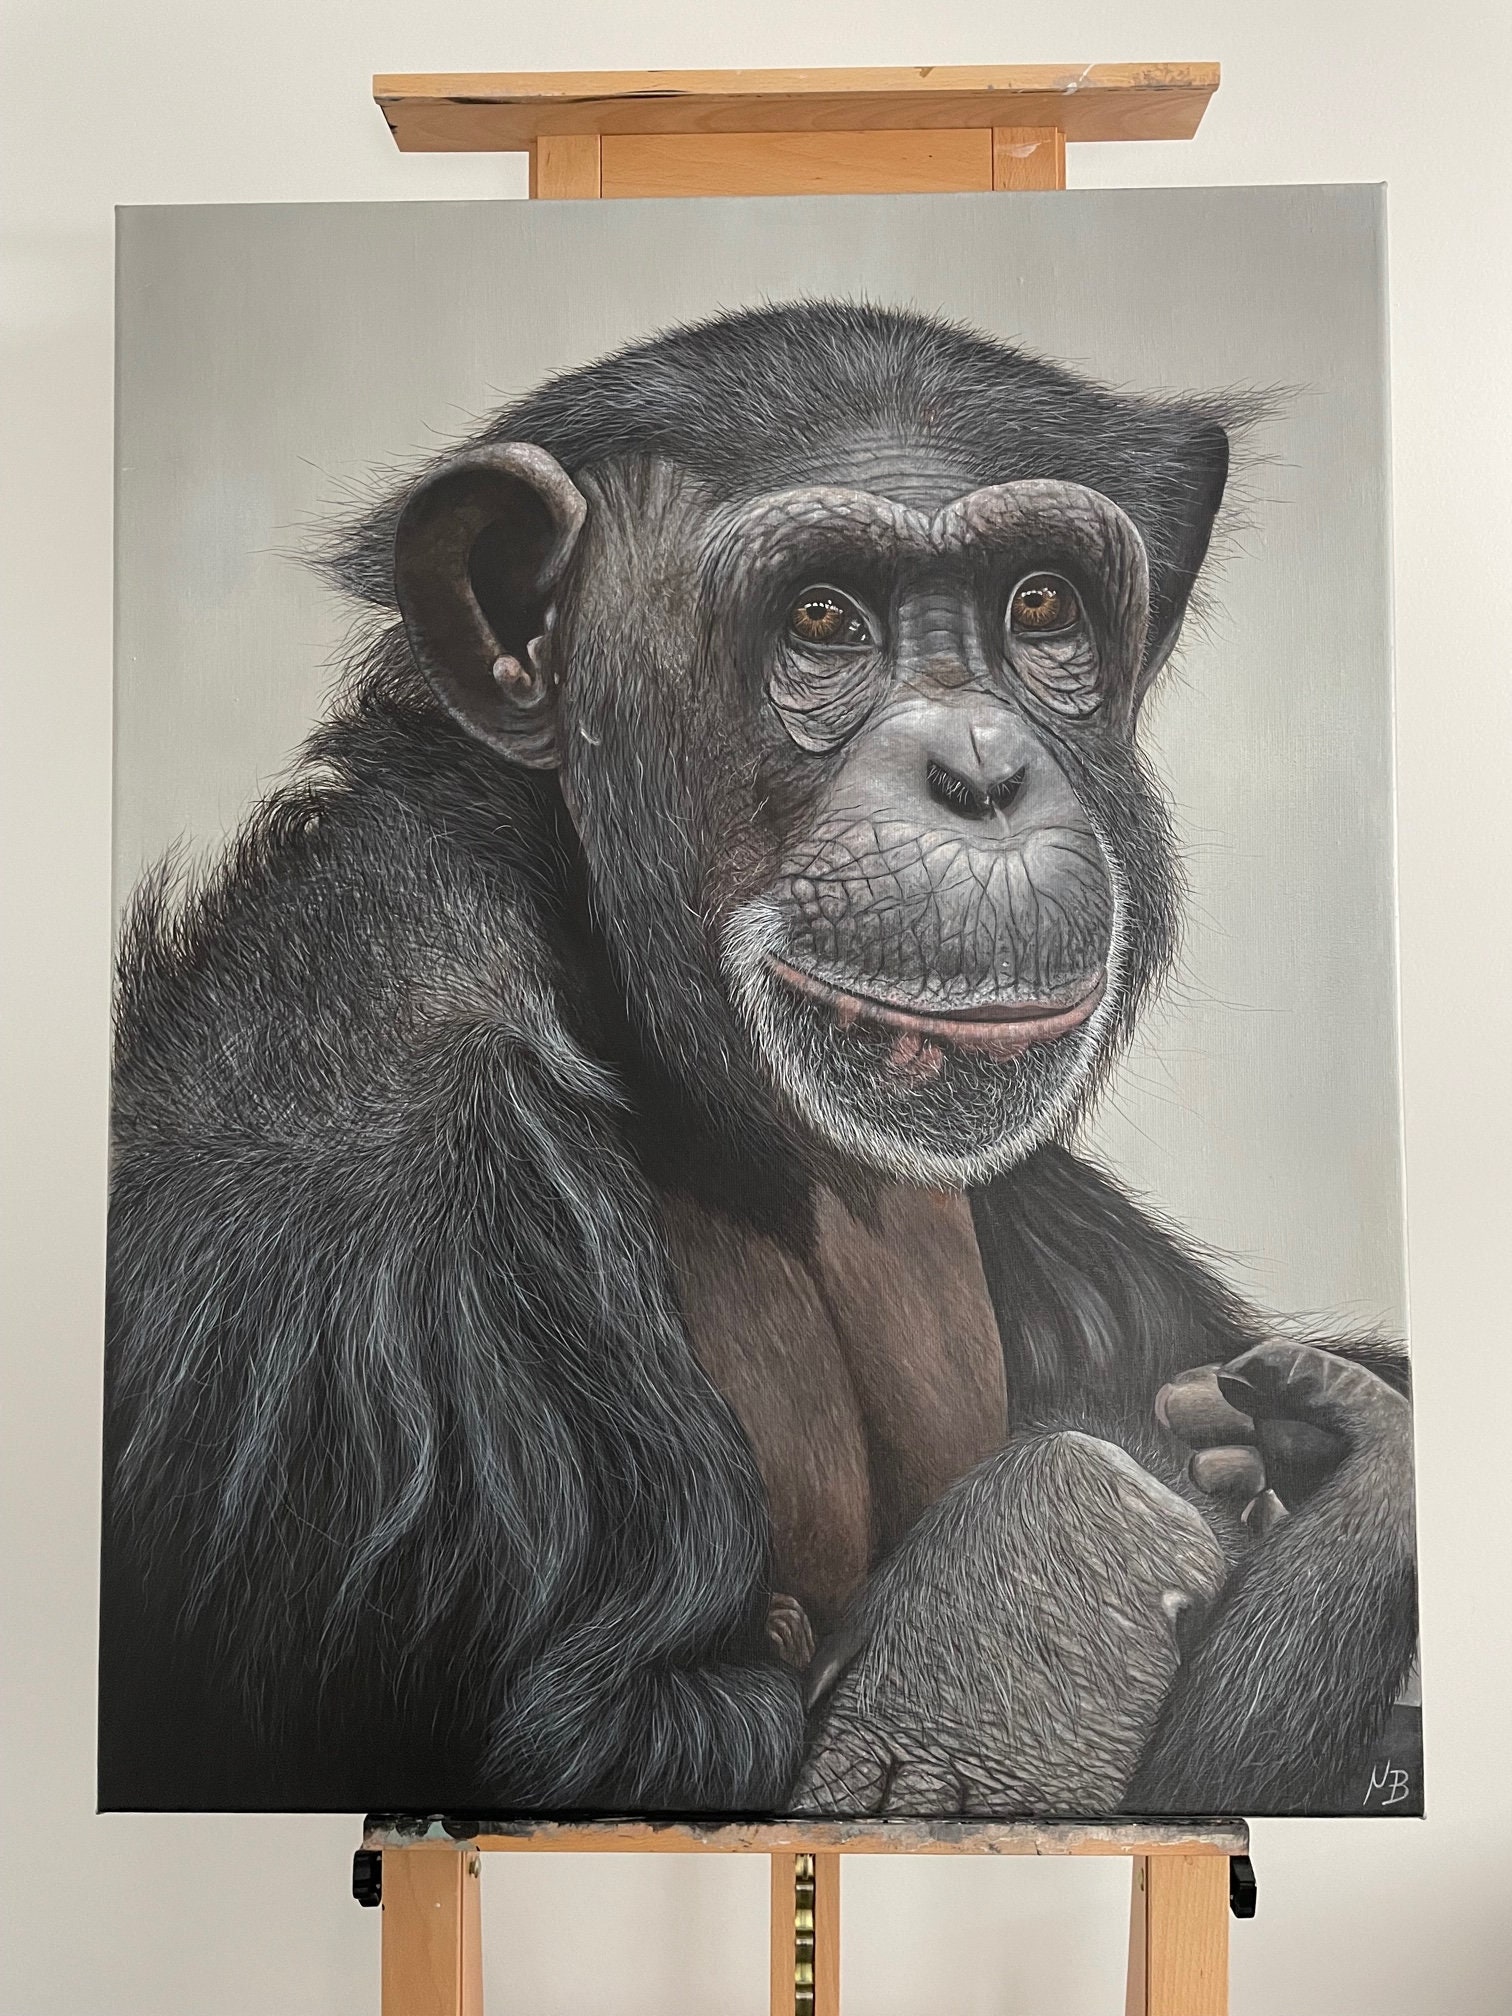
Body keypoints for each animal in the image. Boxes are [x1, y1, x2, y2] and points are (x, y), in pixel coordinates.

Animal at [99, 301, 1418, 1818]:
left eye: (1039, 607)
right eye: (823, 618)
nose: (981, 770)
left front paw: (1303, 1444)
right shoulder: (381, 1176)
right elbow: (630, 1740)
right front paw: (1048, 1582)